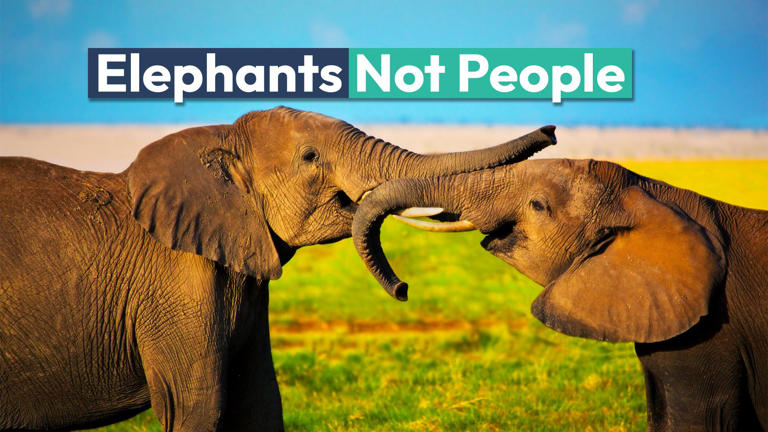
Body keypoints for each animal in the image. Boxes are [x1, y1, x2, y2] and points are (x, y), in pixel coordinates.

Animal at [0, 106, 557, 432]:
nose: (552, 129)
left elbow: (260, 402)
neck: (217, 142)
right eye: (310, 156)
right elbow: (196, 405)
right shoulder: (177, 285)